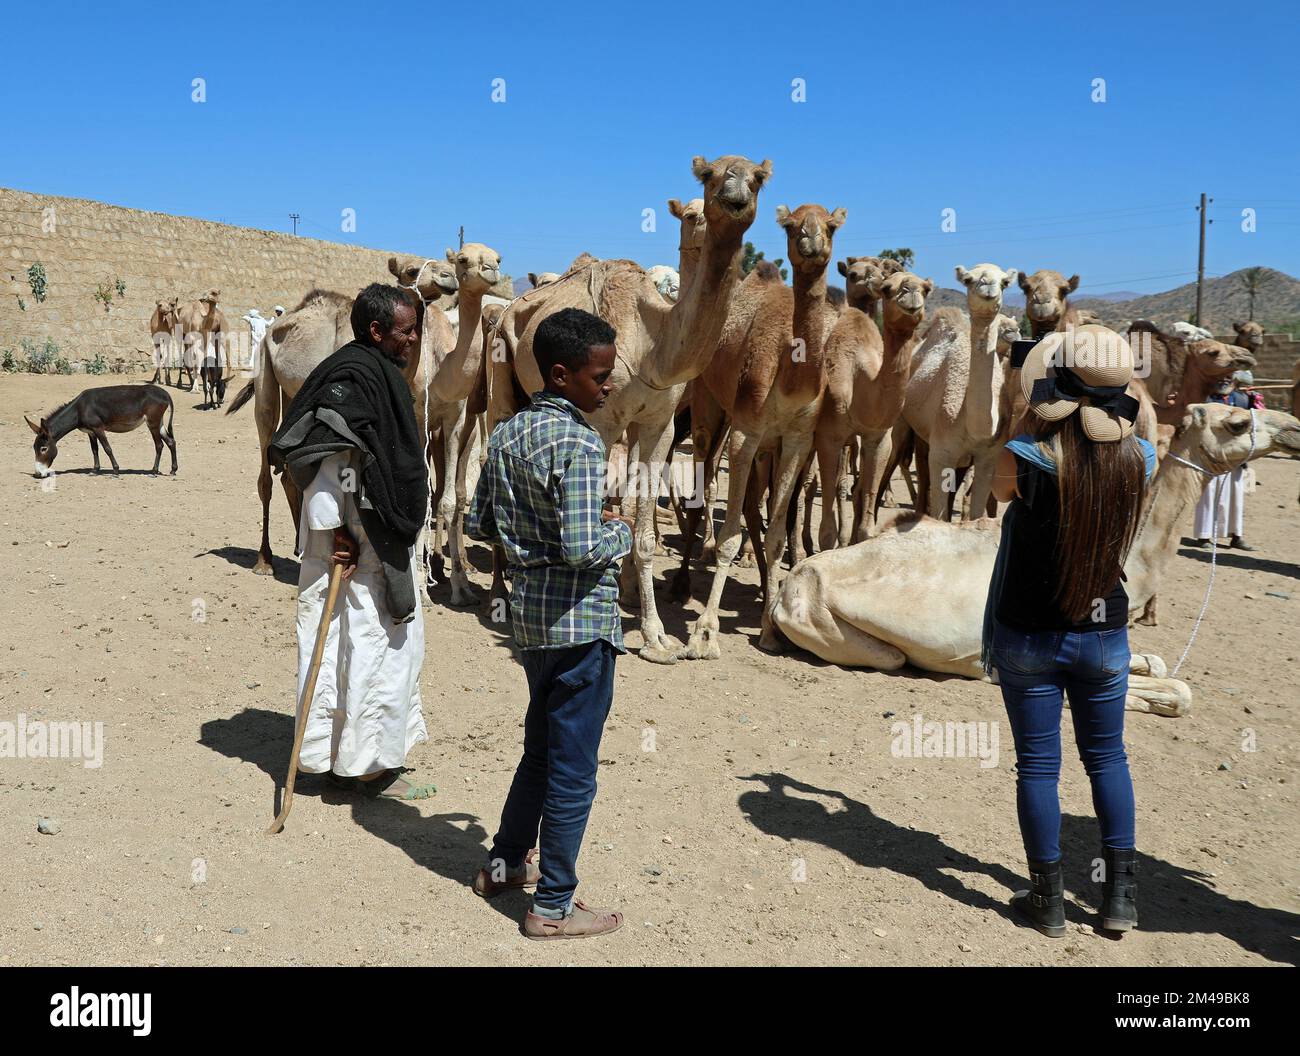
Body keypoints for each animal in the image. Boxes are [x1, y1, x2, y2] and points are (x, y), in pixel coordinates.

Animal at [484, 154, 773, 664]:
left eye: (756, 179)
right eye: (710, 177)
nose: (734, 198)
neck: (652, 343)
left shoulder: (658, 424)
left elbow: (643, 532)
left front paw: (656, 636)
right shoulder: (599, 423)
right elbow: (593, 517)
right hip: (500, 372)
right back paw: (500, 593)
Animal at [673, 202, 845, 660]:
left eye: (832, 226)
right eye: (789, 225)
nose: (810, 240)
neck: (791, 374)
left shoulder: (797, 440)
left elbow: (777, 536)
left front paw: (769, 629)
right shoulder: (746, 432)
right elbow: (729, 537)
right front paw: (703, 633)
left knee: (753, 507)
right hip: (709, 408)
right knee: (702, 486)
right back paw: (681, 583)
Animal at [771, 403, 1300, 716]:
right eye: (1236, 420)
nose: (1294, 428)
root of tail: (785, 588)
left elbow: (1156, 662)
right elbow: (1177, 692)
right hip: (843, 632)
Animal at [812, 270, 933, 550]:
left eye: (926, 289)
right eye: (887, 288)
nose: (911, 291)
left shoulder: (878, 438)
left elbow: (867, 521)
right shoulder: (828, 437)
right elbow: (826, 533)